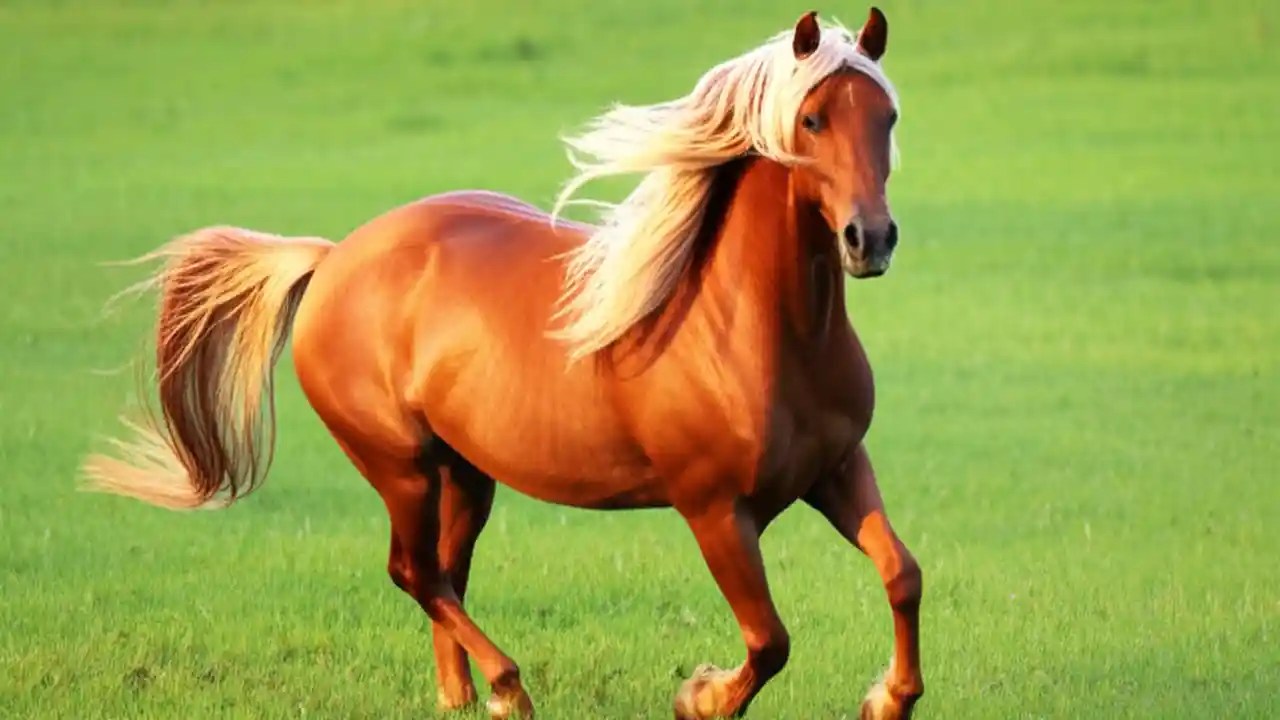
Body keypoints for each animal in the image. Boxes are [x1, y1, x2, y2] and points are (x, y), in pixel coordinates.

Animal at [83, 8, 924, 719]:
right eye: (811, 119)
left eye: (887, 117)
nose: (870, 239)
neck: (755, 330)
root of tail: (333, 259)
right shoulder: (715, 510)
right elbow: (768, 639)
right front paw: (703, 695)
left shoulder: (836, 469)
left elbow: (901, 573)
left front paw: (888, 697)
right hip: (400, 467)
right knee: (415, 572)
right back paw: (508, 689)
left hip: (466, 473)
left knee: (444, 573)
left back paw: (463, 697)